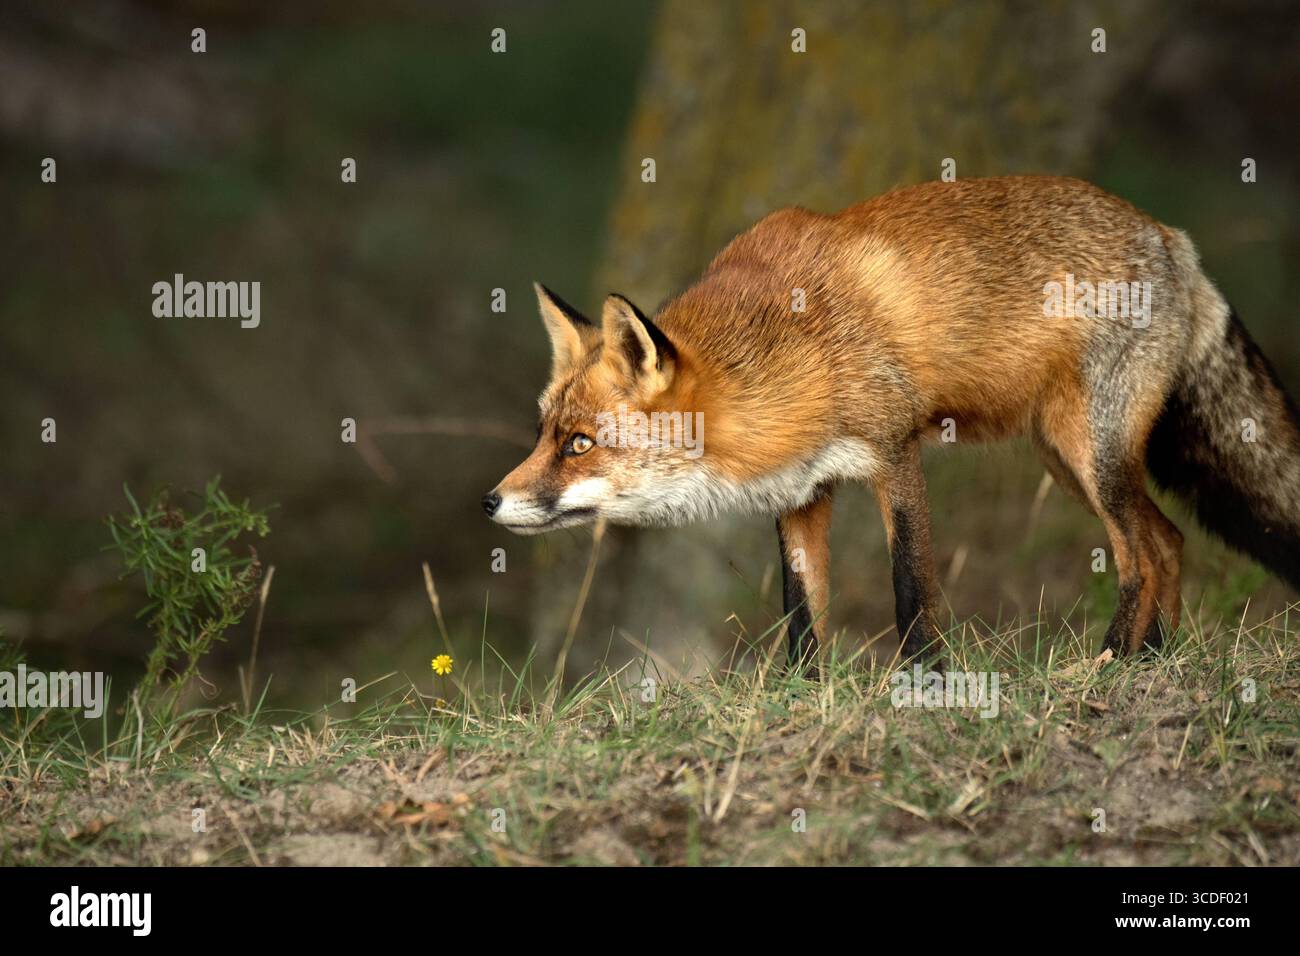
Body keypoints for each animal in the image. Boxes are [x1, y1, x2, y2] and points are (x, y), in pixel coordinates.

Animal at [483, 175, 1300, 668]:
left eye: (581, 444)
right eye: (544, 433)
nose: (491, 501)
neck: (795, 347)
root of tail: (1170, 237)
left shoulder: (894, 450)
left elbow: (910, 585)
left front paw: (925, 683)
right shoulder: (801, 491)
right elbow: (802, 610)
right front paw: (805, 697)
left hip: (1093, 456)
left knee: (1141, 555)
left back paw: (1111, 665)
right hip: (1069, 459)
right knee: (1167, 542)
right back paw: (1153, 662)